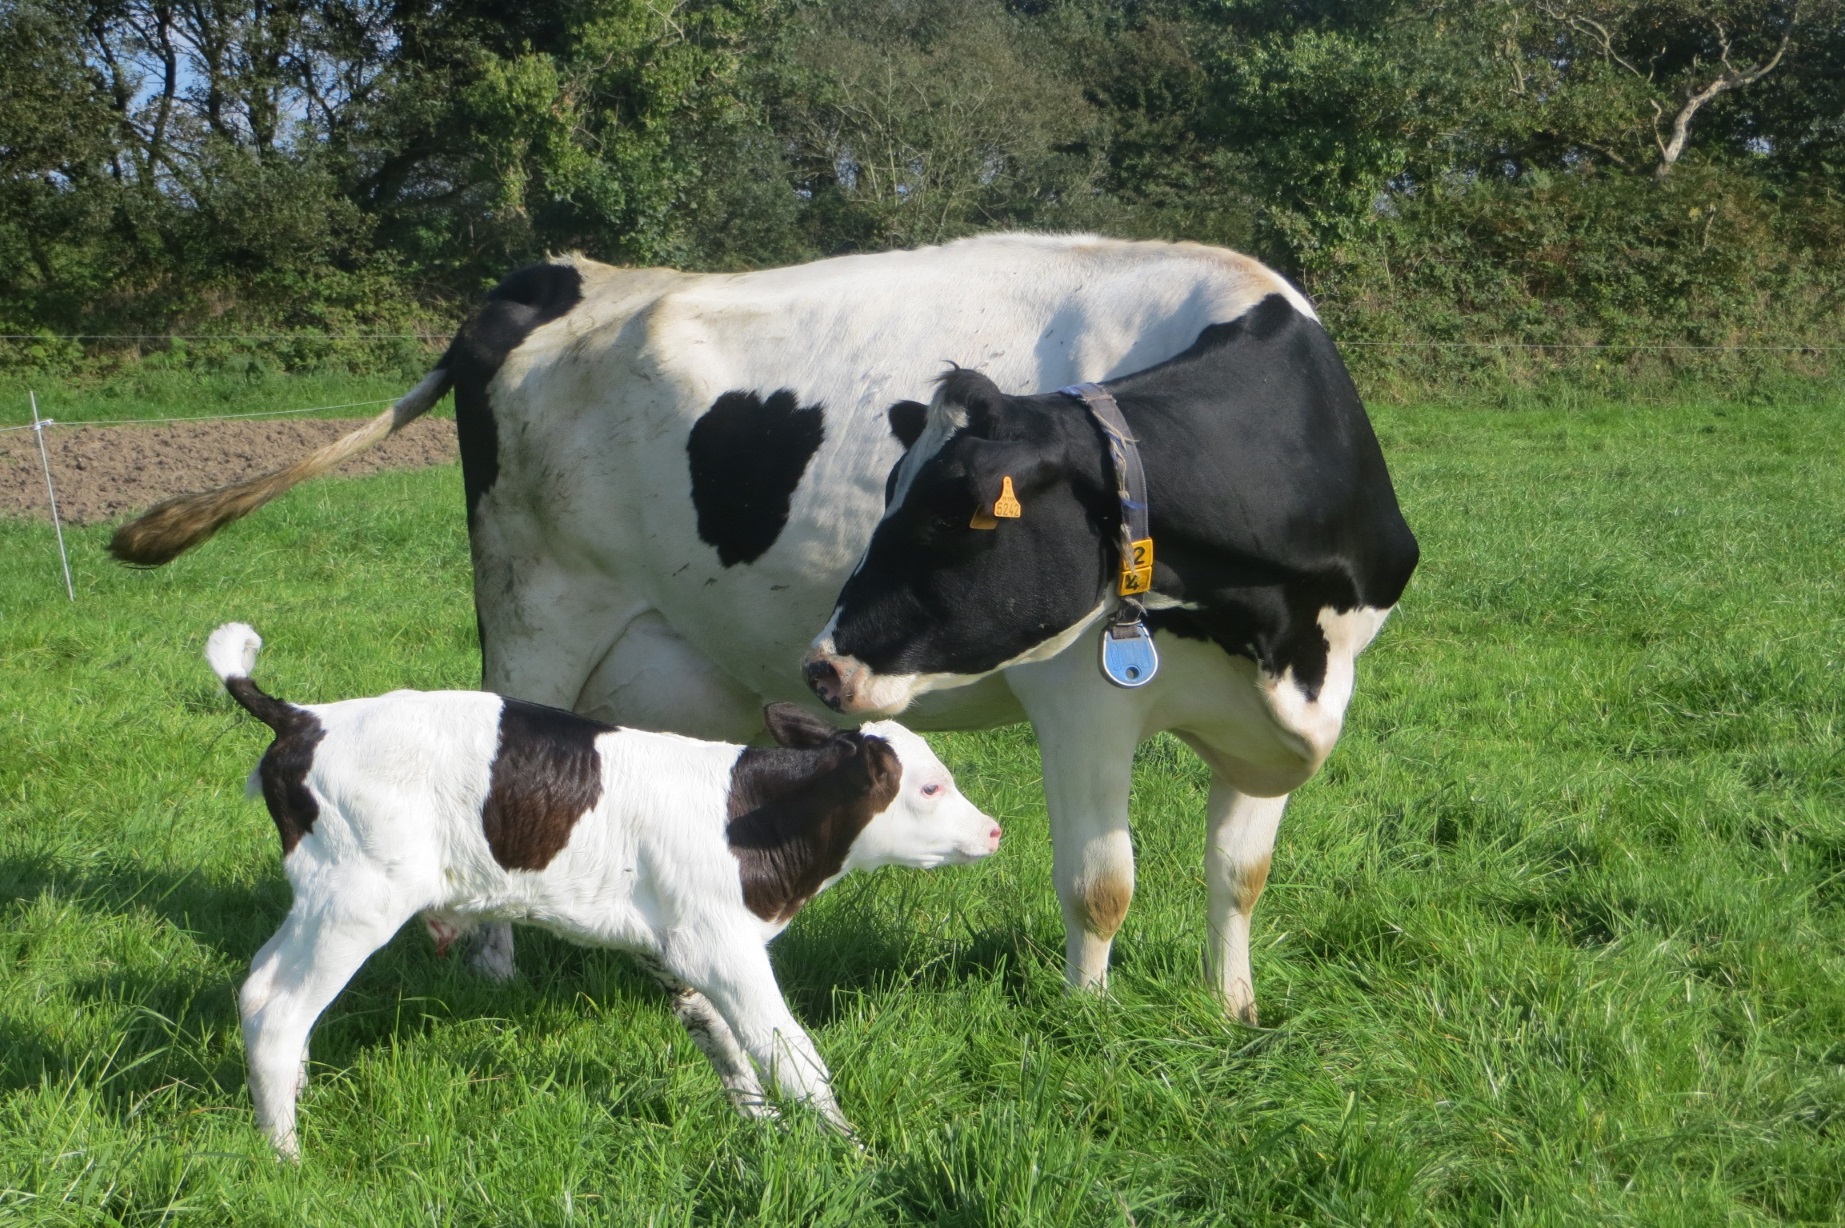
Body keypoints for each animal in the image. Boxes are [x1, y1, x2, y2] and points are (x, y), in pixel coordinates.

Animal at [113, 233, 1416, 1022]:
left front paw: (1232, 1011)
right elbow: (1102, 884)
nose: (826, 665)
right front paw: (1087, 1020)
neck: (1281, 625)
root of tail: (554, 271)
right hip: (535, 609)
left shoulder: (1285, 710)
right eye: (893, 498)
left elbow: (1240, 873)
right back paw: (495, 967)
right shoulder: (1085, 699)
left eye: (950, 513)